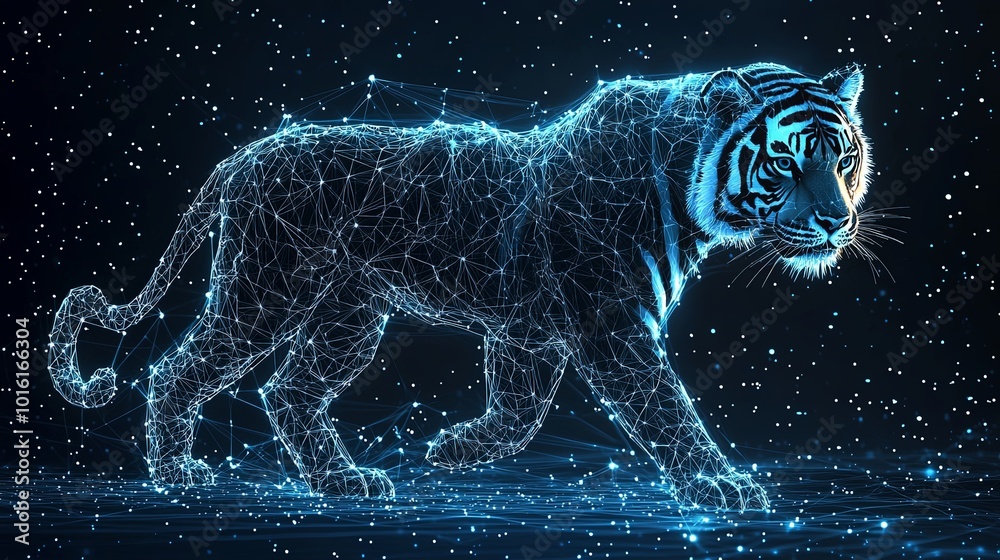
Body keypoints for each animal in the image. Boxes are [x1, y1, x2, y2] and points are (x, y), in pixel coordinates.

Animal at [49, 62, 870, 511]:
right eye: (786, 161)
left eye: (844, 158)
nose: (838, 220)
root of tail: (244, 156)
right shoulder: (613, 323)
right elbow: (665, 410)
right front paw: (721, 487)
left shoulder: (528, 334)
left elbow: (519, 410)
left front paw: (452, 449)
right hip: (267, 291)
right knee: (178, 368)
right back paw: (176, 473)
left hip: (348, 315)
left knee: (288, 389)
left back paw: (345, 480)